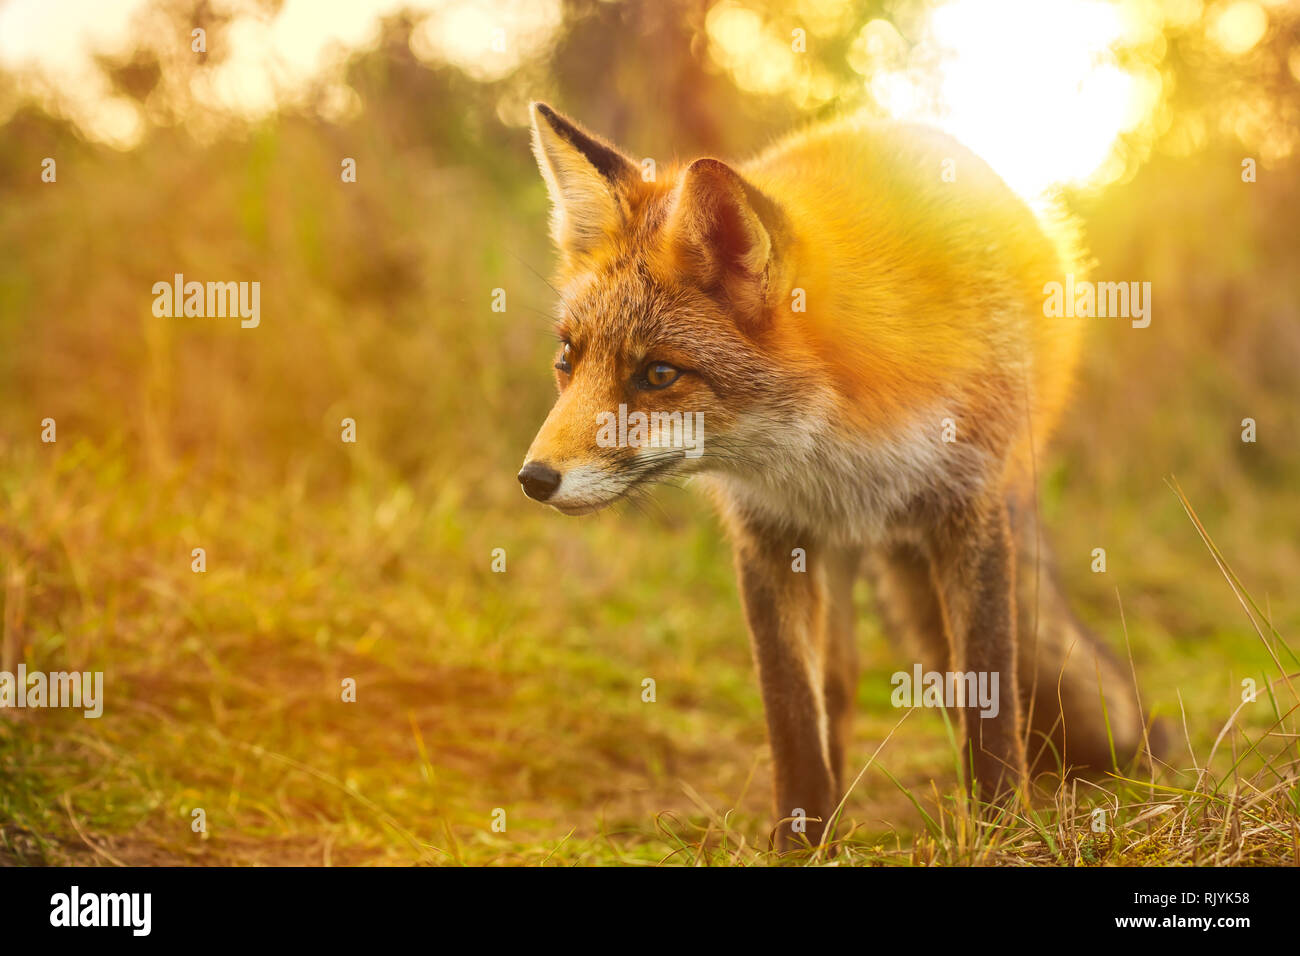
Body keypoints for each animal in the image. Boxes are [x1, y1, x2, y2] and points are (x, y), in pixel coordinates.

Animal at [517, 102, 1162, 847]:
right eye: (567, 361)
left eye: (657, 374)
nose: (534, 478)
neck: (834, 440)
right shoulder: (769, 533)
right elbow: (792, 709)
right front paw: (798, 840)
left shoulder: (967, 510)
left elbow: (989, 688)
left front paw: (1003, 827)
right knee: (842, 682)